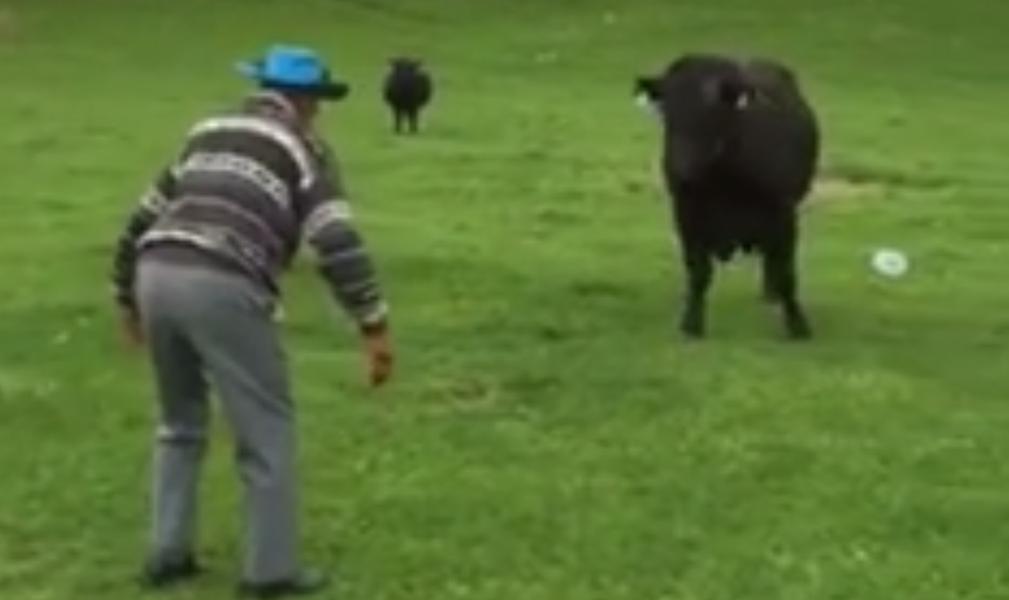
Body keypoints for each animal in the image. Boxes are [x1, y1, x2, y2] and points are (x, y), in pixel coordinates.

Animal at [635, 53, 821, 340]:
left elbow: (786, 274)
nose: (678, 166)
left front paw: (798, 326)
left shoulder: (784, 214)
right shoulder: (687, 216)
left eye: (710, 113)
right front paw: (691, 323)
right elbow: (699, 273)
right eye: (667, 114)